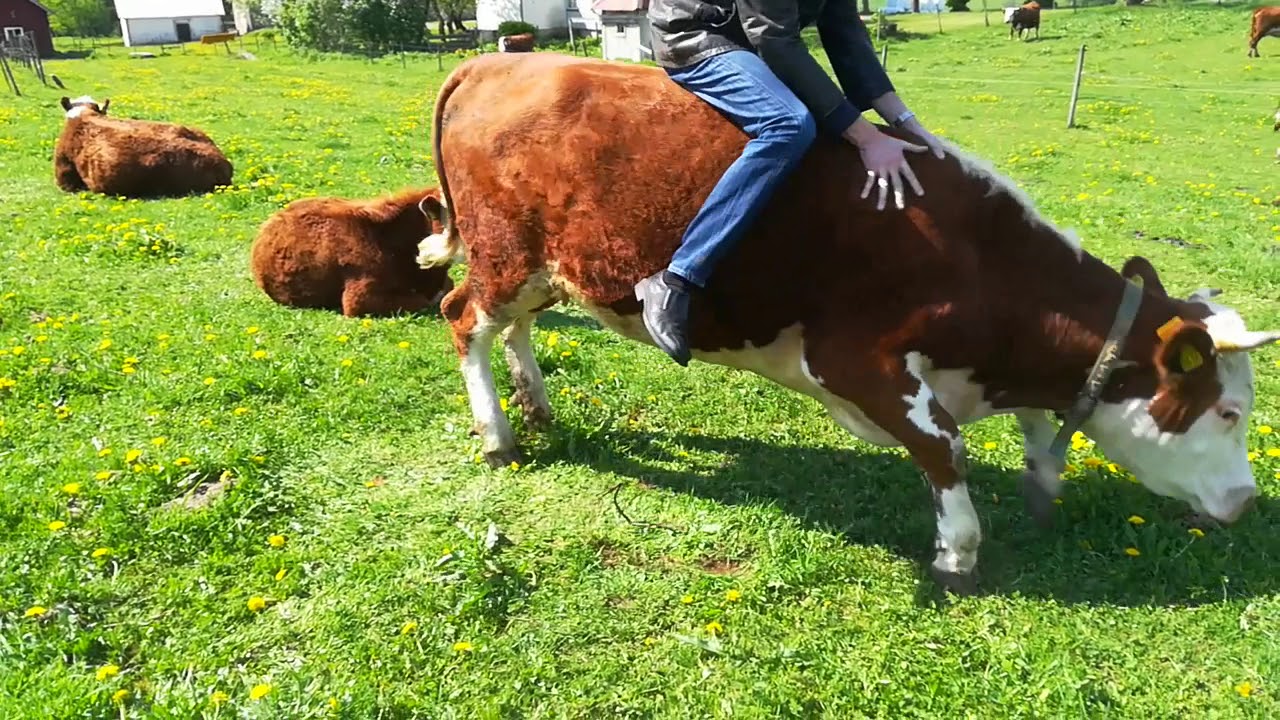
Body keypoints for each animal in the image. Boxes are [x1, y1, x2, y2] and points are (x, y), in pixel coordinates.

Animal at [415, 53, 1279, 593]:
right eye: (1227, 412)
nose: (1244, 502)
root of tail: (496, 62)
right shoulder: (854, 359)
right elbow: (945, 448)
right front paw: (958, 555)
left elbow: (1033, 429)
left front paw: (1039, 476)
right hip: (504, 256)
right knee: (463, 318)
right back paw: (499, 435)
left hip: (551, 269)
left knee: (511, 329)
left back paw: (535, 405)